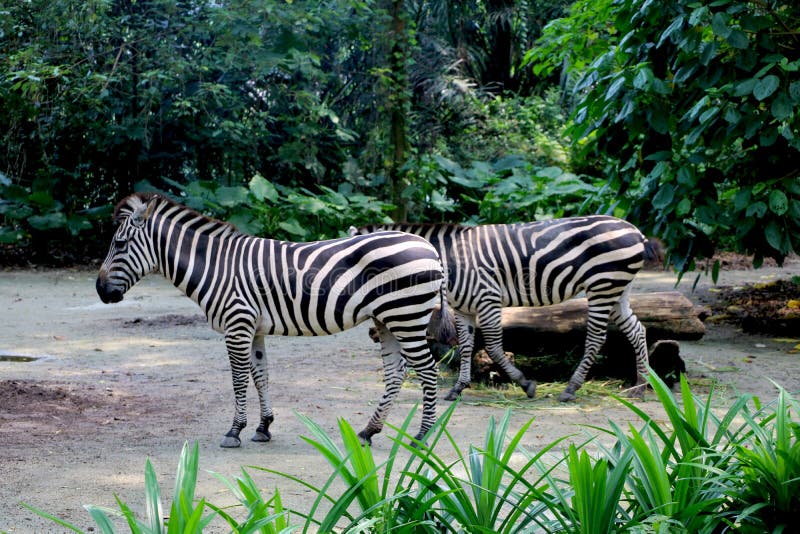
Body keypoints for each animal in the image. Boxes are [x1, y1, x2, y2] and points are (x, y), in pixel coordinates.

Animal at [96, 192, 451, 448]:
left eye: (120, 244)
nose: (100, 291)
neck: (215, 266)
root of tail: (429, 247)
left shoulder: (237, 324)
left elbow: (239, 380)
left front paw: (234, 431)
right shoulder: (253, 329)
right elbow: (260, 376)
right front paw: (263, 426)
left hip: (406, 316)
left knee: (428, 371)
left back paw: (422, 436)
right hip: (387, 320)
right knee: (395, 375)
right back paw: (367, 432)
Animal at [351, 216, 649, 402]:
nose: (371, 333)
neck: (447, 260)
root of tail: (635, 230)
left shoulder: (488, 299)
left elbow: (493, 347)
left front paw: (526, 384)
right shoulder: (464, 309)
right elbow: (465, 346)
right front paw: (459, 387)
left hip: (602, 287)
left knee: (597, 338)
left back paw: (571, 388)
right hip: (617, 290)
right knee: (638, 330)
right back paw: (641, 387)